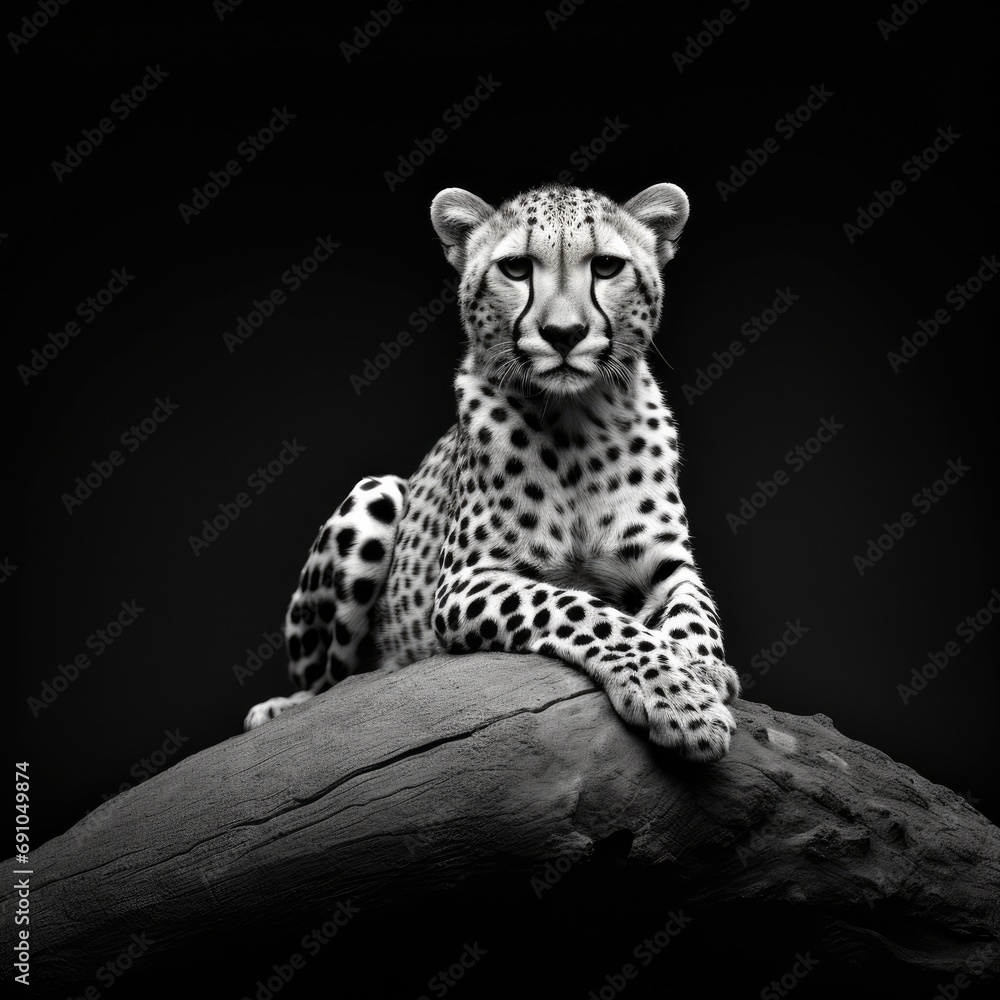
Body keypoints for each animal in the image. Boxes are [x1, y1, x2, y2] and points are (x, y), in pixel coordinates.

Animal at [244, 181, 740, 761]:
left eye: (607, 266)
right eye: (517, 268)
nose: (564, 333)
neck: (576, 421)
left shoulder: (669, 567)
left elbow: (696, 611)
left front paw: (704, 670)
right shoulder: (464, 583)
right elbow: (580, 609)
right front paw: (677, 696)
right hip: (375, 495)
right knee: (328, 678)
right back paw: (281, 707)